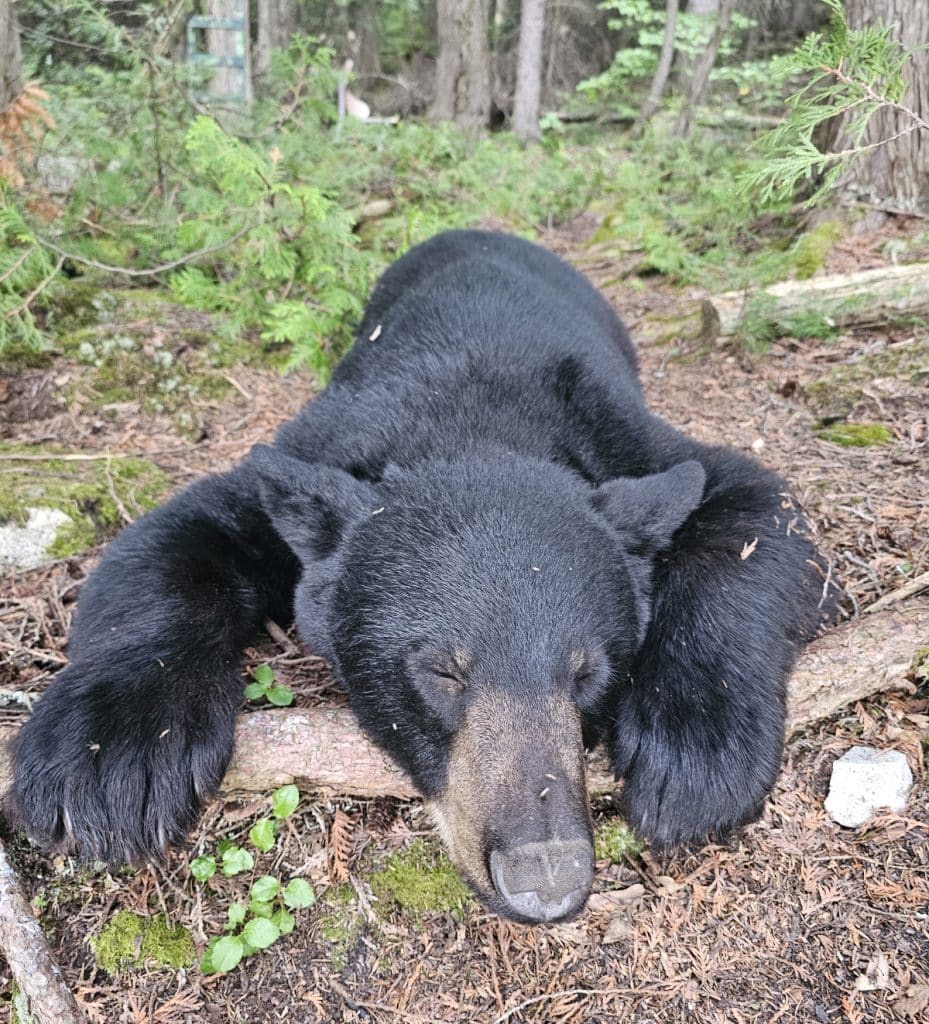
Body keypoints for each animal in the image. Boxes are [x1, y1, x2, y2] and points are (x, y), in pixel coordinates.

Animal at [11, 230, 831, 924]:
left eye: (588, 675)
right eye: (442, 672)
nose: (546, 879)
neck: (475, 422)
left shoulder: (623, 439)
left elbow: (753, 503)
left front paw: (694, 748)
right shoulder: (322, 447)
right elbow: (173, 539)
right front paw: (110, 757)